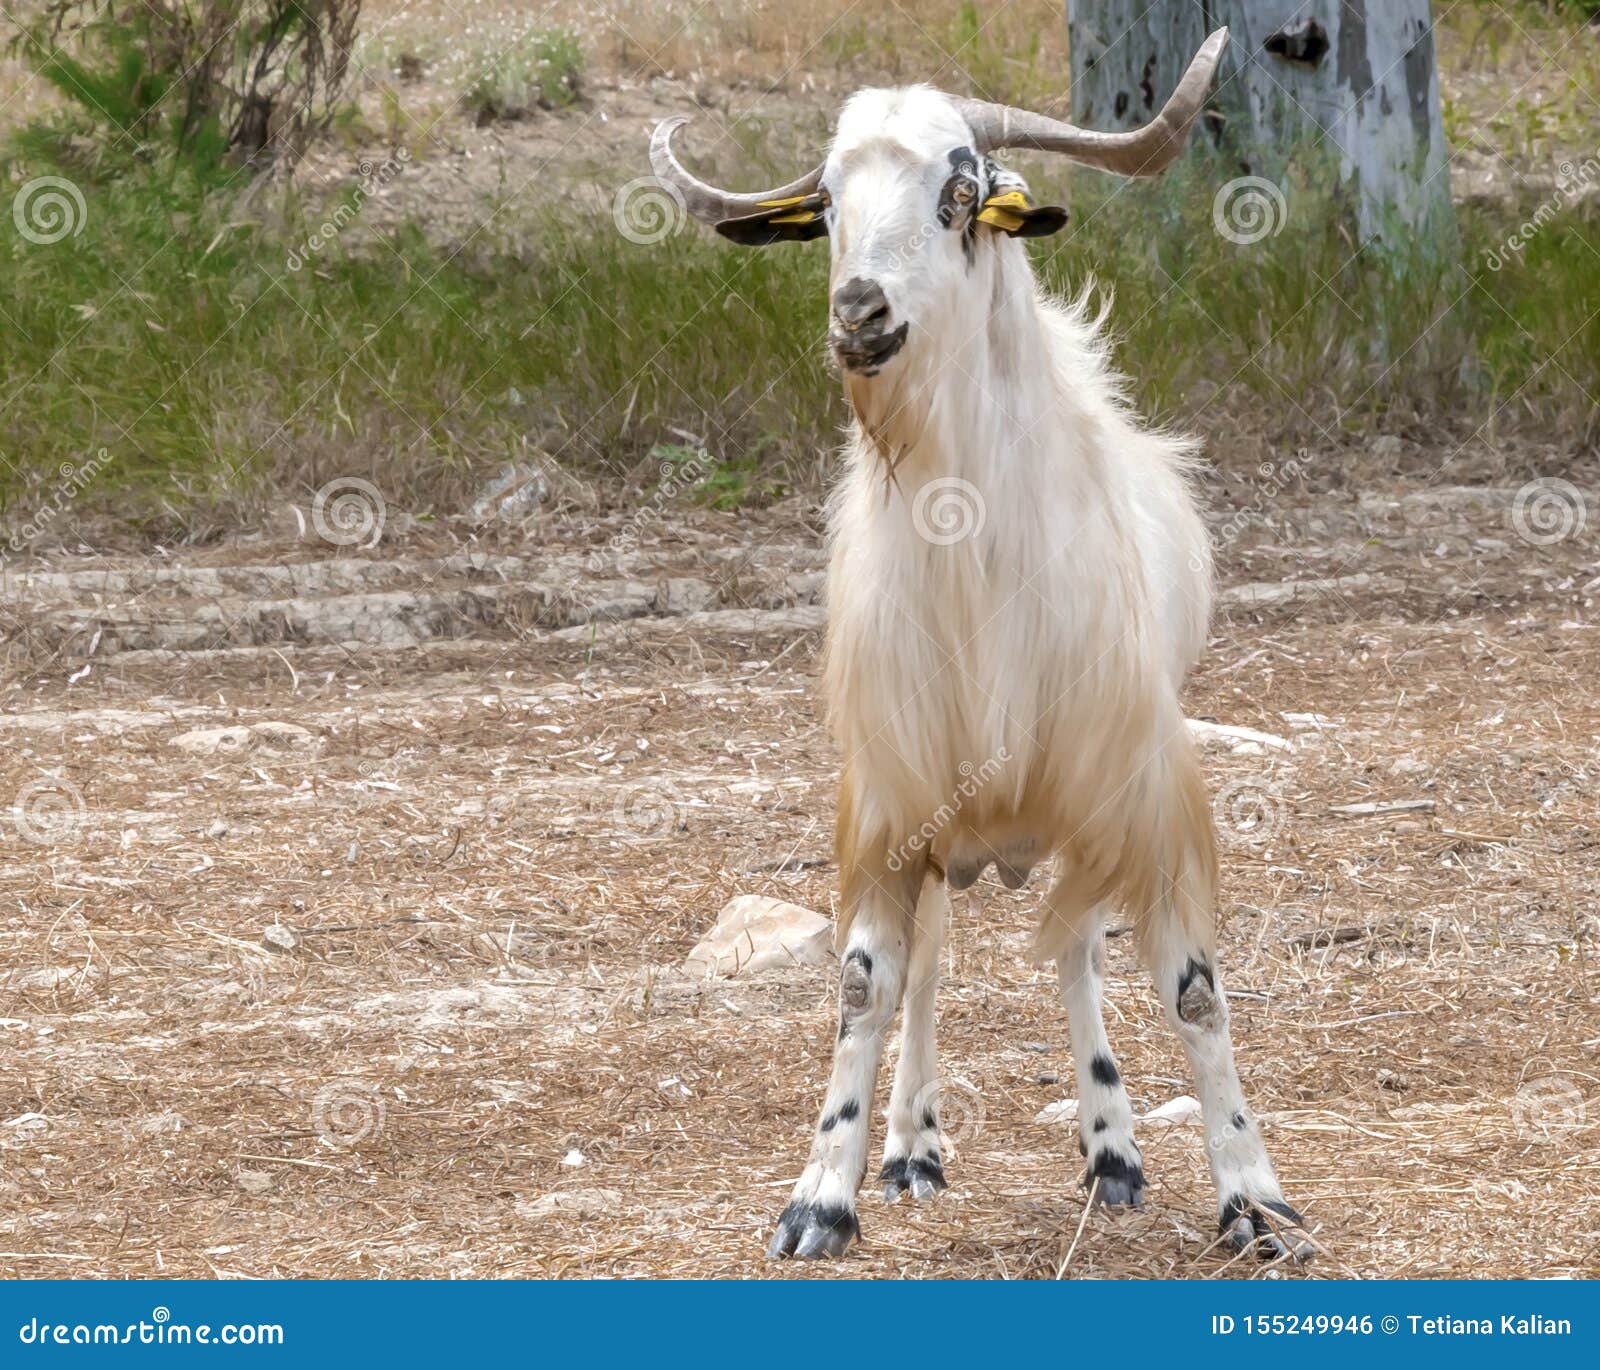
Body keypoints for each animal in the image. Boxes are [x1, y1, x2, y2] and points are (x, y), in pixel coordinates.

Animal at [650, 27, 1310, 1263]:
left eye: (960, 192)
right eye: (825, 201)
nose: (860, 313)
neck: (975, 556)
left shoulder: (1138, 783)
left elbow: (1192, 987)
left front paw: (1256, 1198)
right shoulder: (892, 794)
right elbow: (865, 983)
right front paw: (823, 1192)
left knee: (1077, 948)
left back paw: (1112, 1150)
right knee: (933, 965)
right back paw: (915, 1144)